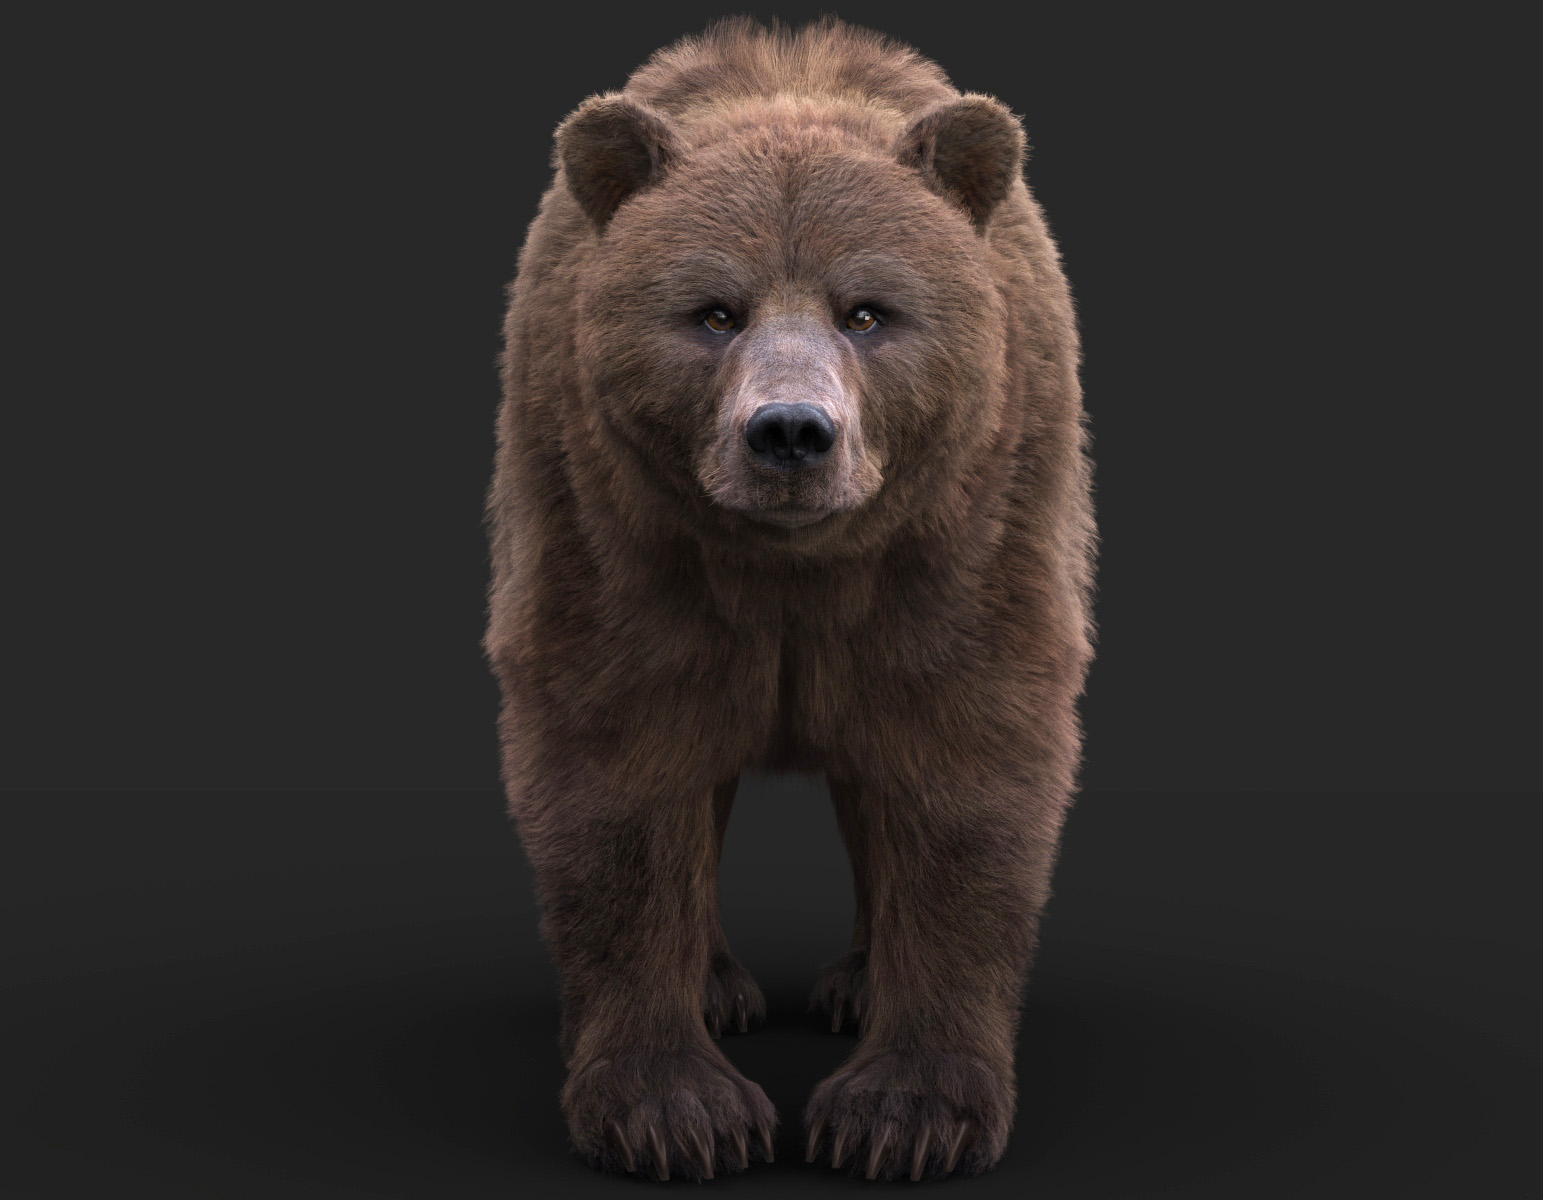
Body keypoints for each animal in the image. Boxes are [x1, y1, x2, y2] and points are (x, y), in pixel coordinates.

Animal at [483, 15, 1095, 1183]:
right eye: (712, 312)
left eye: (868, 312)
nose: (790, 433)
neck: (794, 566)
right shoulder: (611, 522)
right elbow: (619, 760)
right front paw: (675, 1110)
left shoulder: (969, 526)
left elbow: (961, 756)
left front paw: (905, 1113)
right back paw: (719, 986)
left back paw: (857, 982)